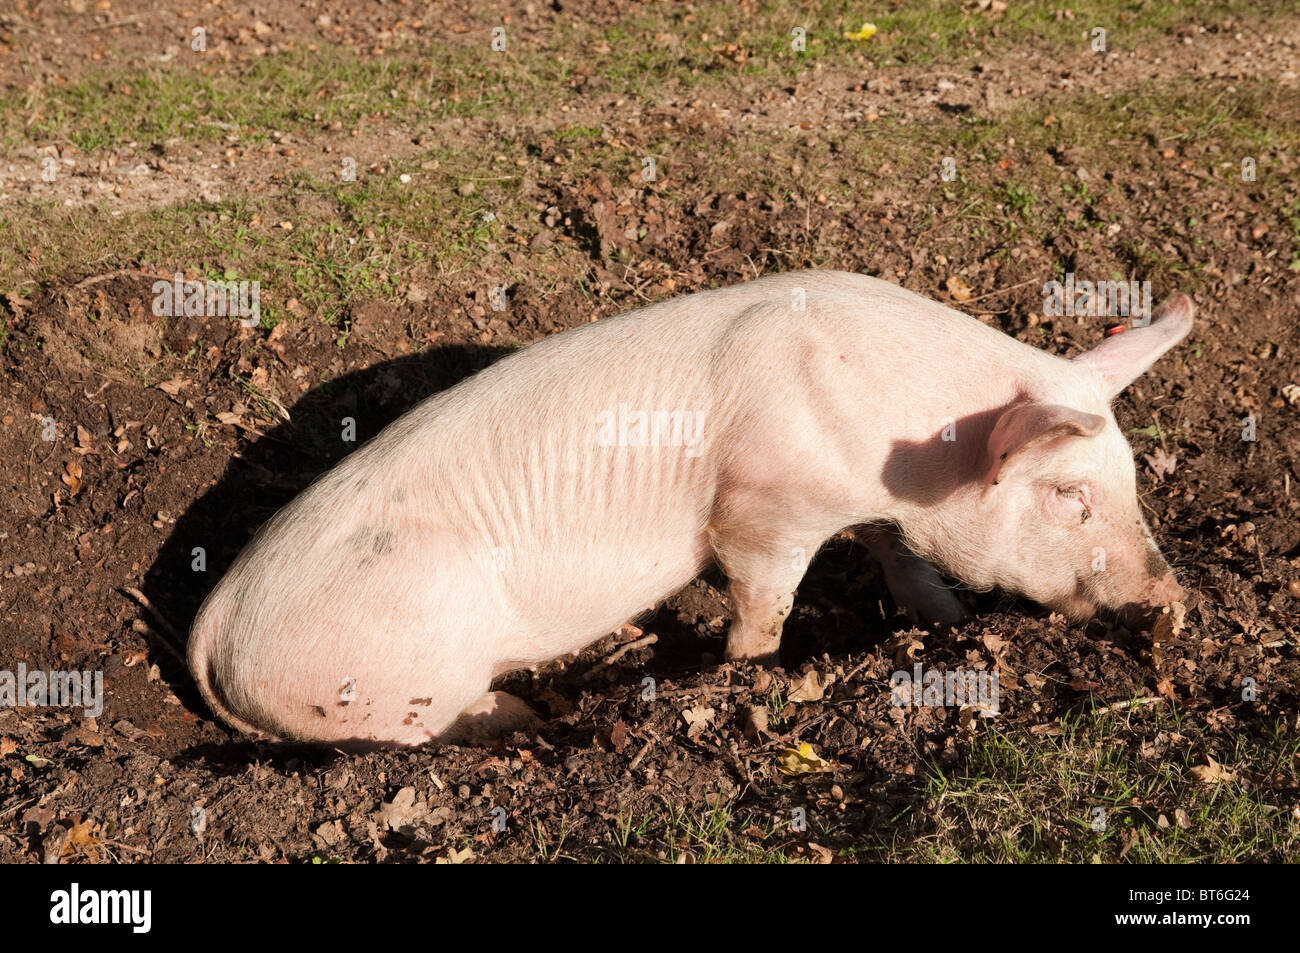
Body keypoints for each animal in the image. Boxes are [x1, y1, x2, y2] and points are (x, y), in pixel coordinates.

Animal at [187, 271, 1192, 748]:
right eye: (1069, 493)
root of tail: (218, 619)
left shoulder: (860, 507)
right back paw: (524, 716)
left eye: (1131, 476)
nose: (1171, 598)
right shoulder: (764, 513)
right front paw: (750, 673)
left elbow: (895, 551)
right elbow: (763, 607)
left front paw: (938, 619)